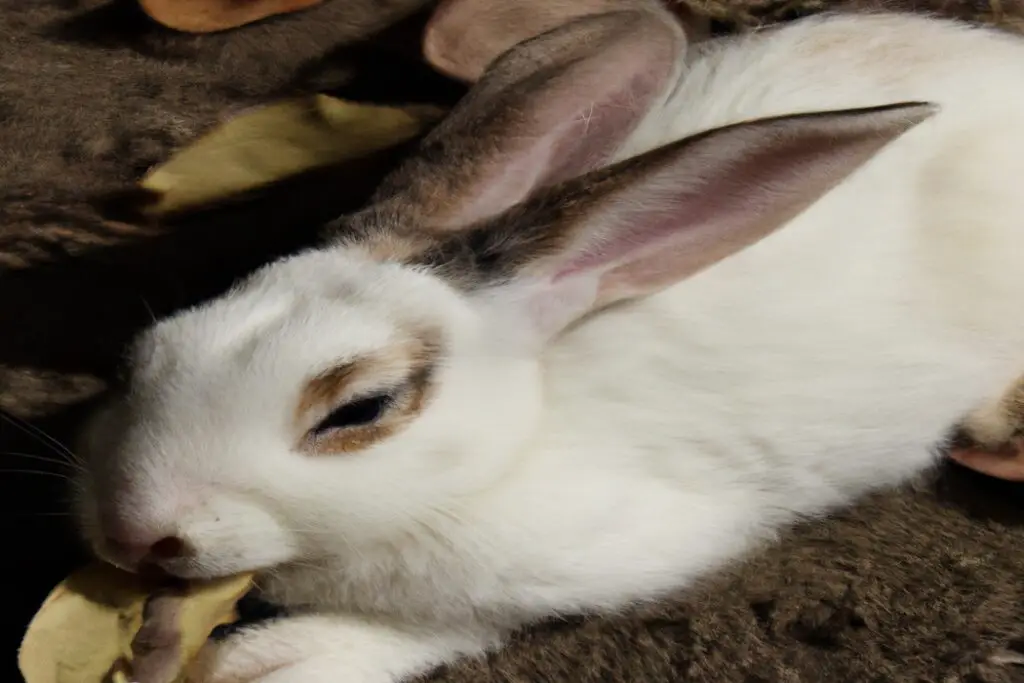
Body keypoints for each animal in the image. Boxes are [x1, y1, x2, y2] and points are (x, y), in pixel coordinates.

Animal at [72, 6, 1024, 683]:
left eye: (360, 409)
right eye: (146, 350)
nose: (129, 530)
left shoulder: (620, 551)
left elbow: (443, 623)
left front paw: (260, 661)